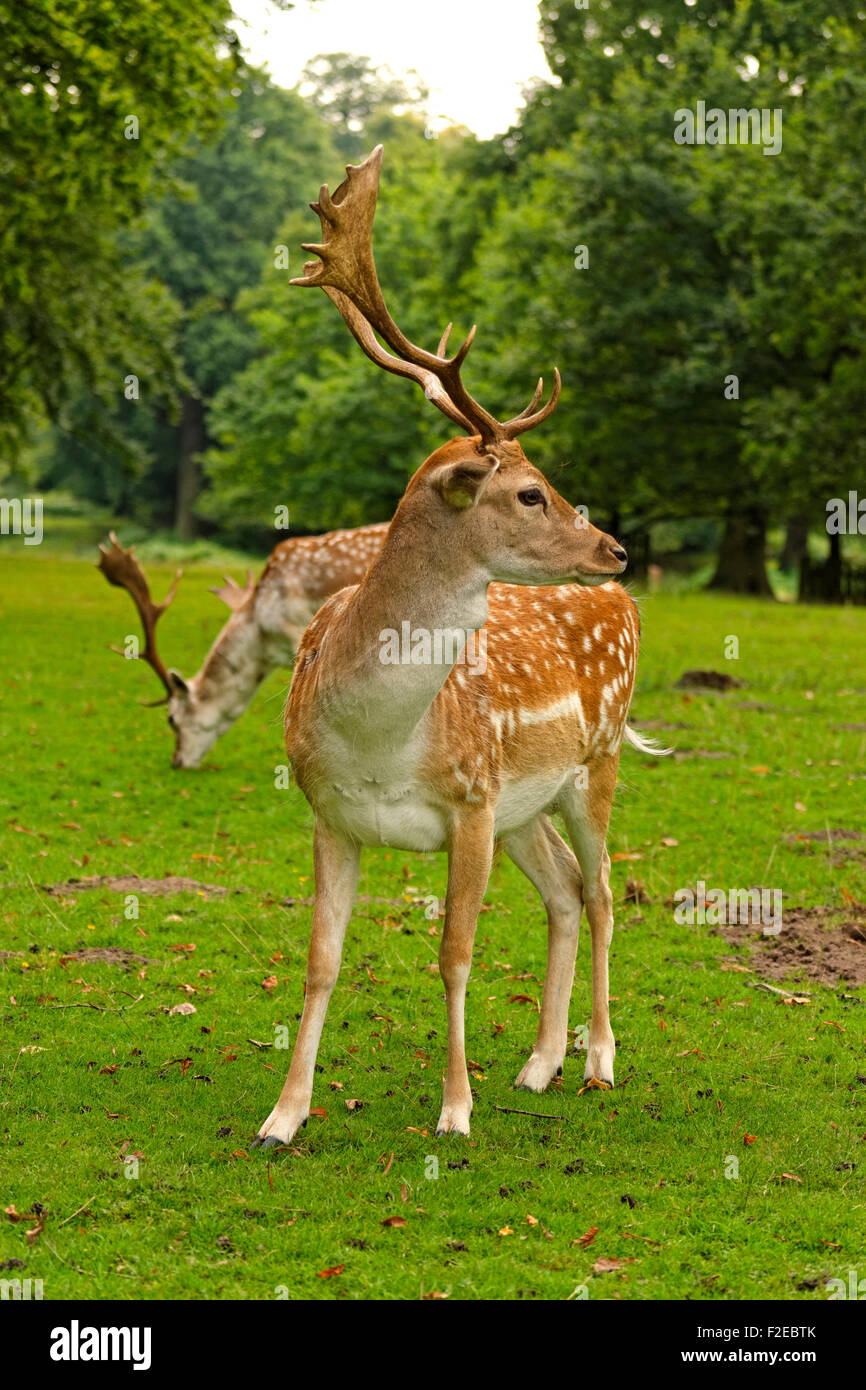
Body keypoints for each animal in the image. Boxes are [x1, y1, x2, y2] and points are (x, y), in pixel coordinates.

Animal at [251, 145, 667, 1152]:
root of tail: (629, 606)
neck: (379, 739)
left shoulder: (472, 803)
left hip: (595, 762)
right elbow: (320, 960)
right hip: (530, 803)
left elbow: (455, 953)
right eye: (528, 492)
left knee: (605, 889)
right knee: (564, 892)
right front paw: (283, 1115)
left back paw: (597, 1060)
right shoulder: (328, 814)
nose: (615, 548)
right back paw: (539, 1063)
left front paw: (454, 1110)